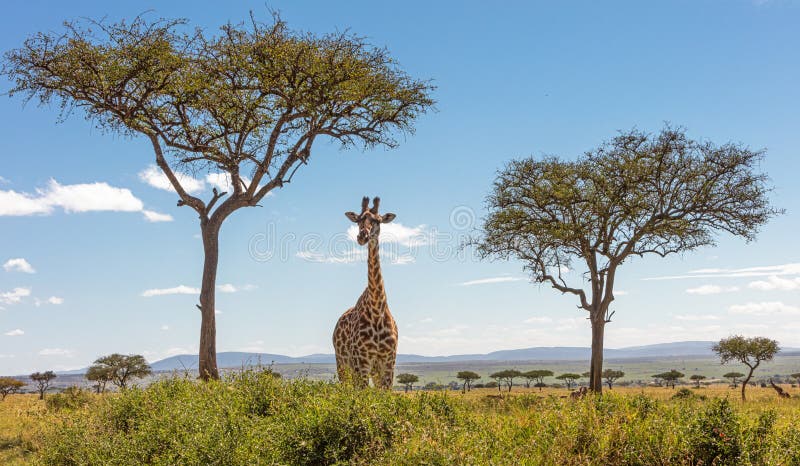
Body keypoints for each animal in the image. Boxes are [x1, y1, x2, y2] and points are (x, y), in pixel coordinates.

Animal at [333, 196, 399, 389]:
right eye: (359, 220)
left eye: (378, 220)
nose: (362, 236)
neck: (377, 311)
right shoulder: (361, 361)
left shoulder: (388, 362)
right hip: (343, 364)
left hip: (373, 370)